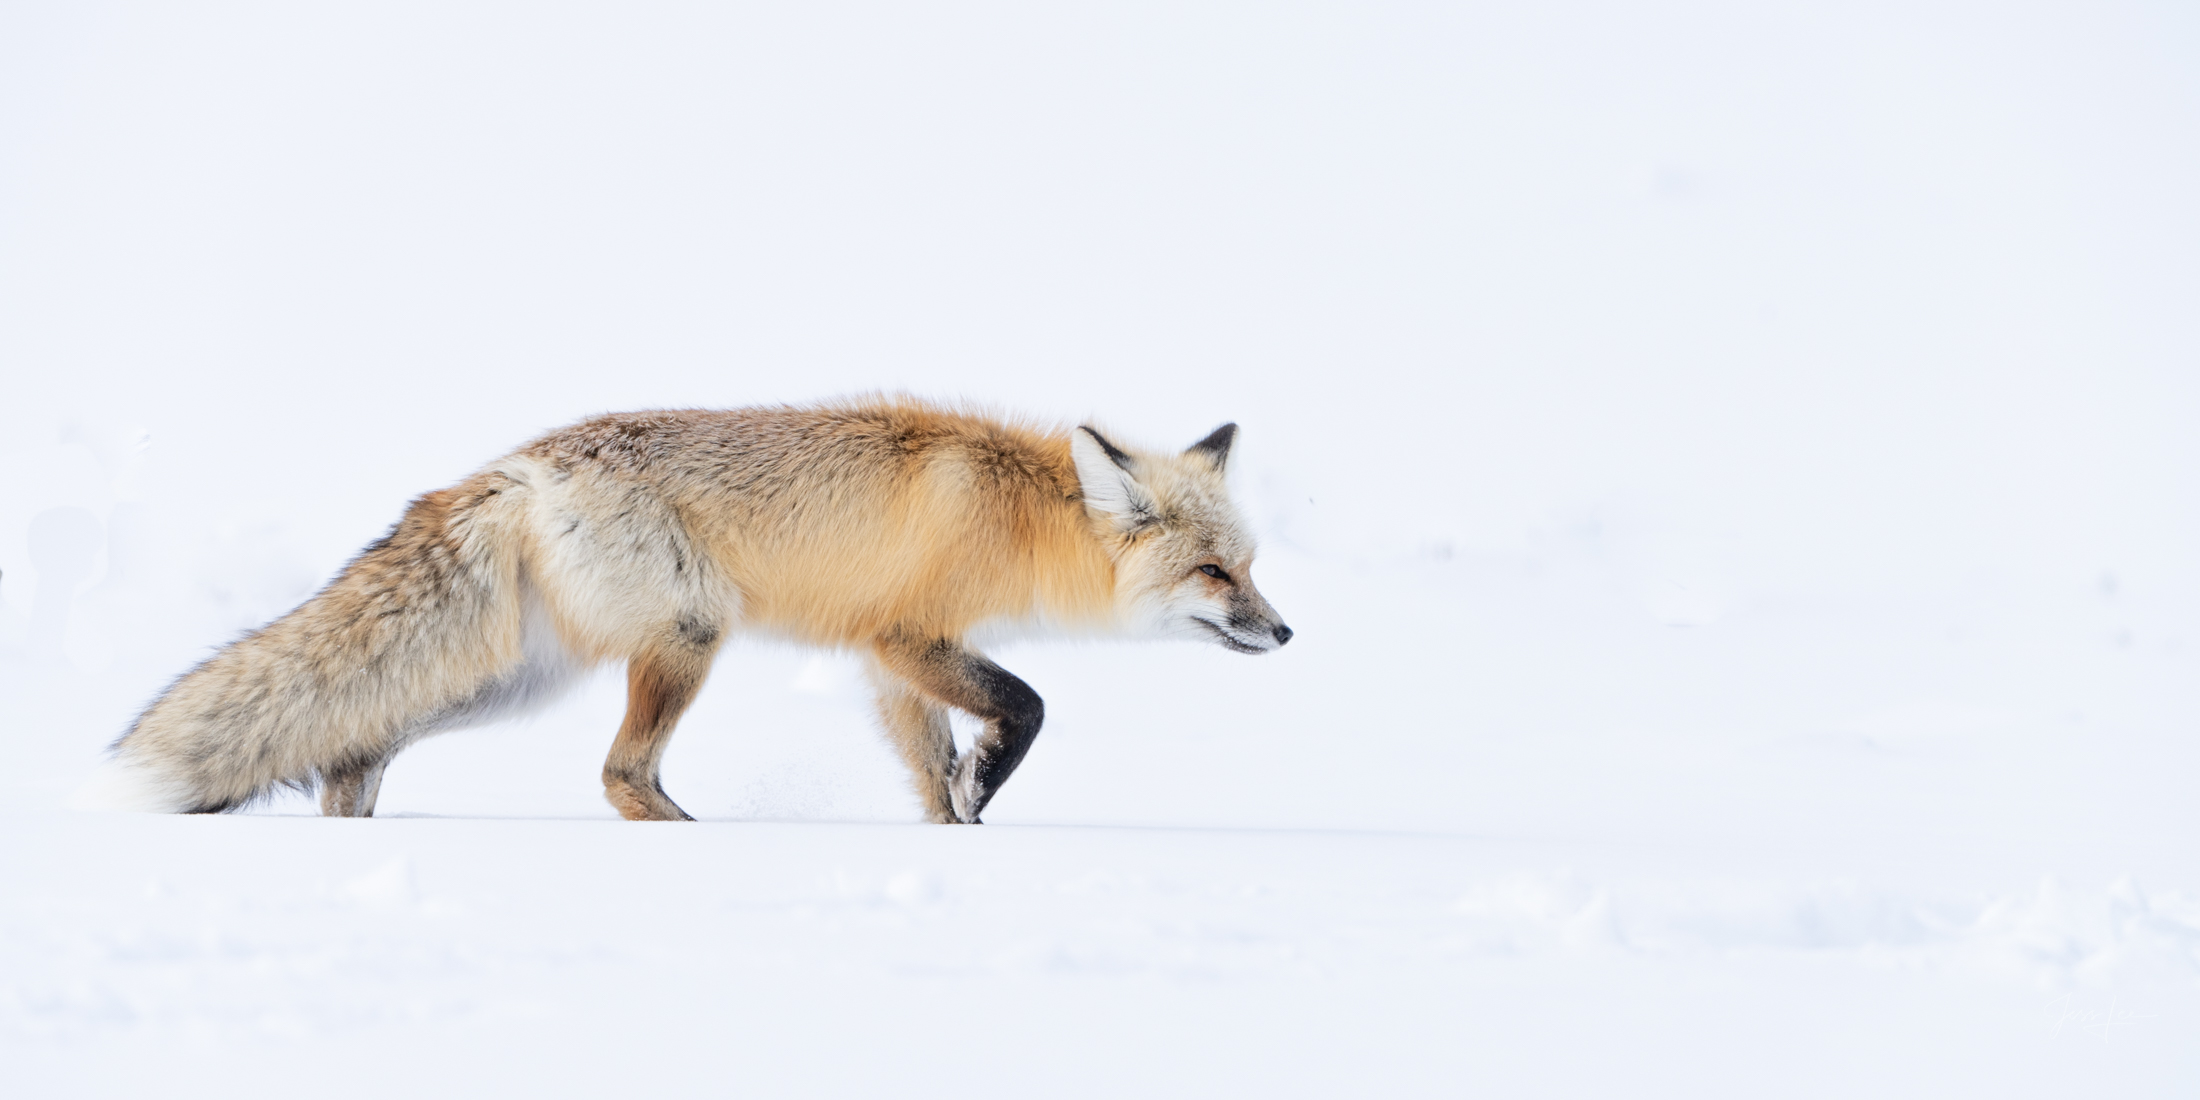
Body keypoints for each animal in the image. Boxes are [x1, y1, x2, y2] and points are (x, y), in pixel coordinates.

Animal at [88, 396, 1291, 823]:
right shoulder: (904, 636)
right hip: (685, 639)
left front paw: (964, 825)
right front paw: (983, 784)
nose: (1285, 633)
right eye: (1213, 575)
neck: (1021, 513)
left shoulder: (889, 666)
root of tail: (518, 465)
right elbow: (1028, 706)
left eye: (1251, 564)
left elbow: (935, 775)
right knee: (623, 775)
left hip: (513, 681)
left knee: (355, 745)